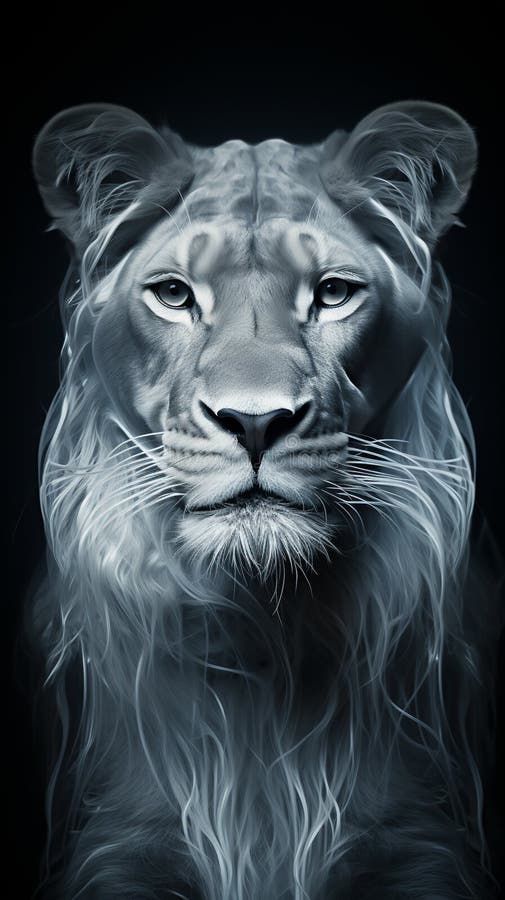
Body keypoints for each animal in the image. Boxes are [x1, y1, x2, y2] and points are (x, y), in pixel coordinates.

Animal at [30, 101, 500, 898]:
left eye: (333, 293)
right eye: (174, 295)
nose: (254, 421)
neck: (266, 642)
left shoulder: (419, 847)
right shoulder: (120, 851)